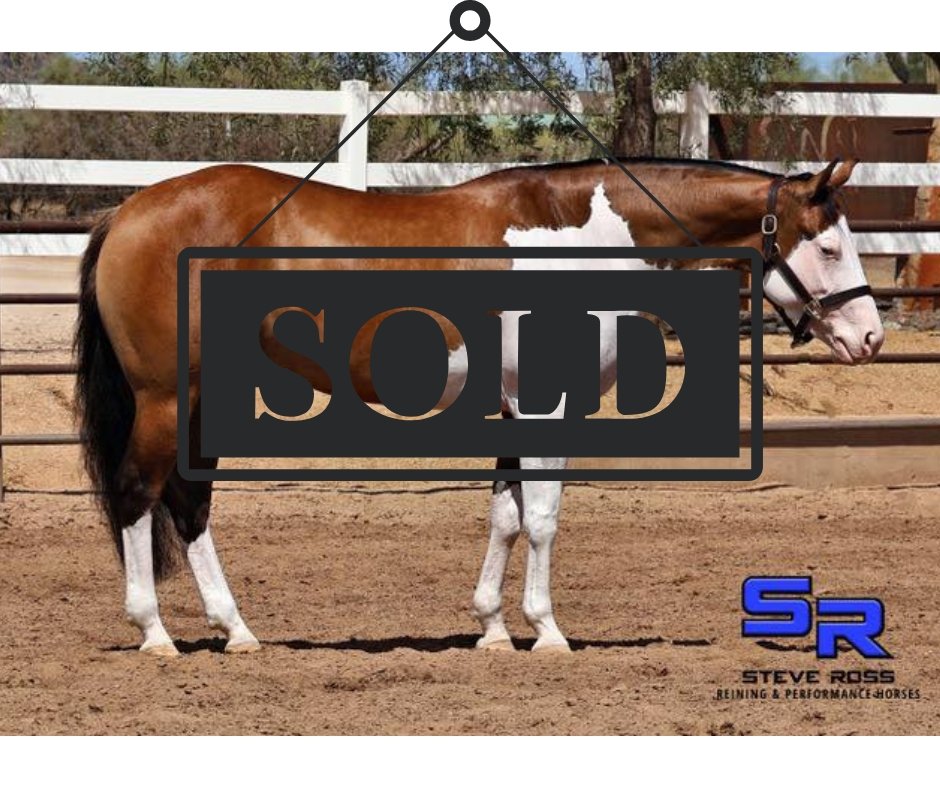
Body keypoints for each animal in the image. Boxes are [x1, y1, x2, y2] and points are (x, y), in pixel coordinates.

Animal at [74, 156, 884, 657]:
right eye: (830, 247)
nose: (870, 336)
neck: (585, 240)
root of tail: (128, 210)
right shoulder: (551, 408)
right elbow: (544, 519)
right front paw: (547, 631)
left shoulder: (513, 410)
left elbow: (505, 515)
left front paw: (492, 627)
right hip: (164, 399)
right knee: (138, 494)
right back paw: (154, 632)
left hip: (201, 400)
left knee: (190, 503)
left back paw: (235, 629)